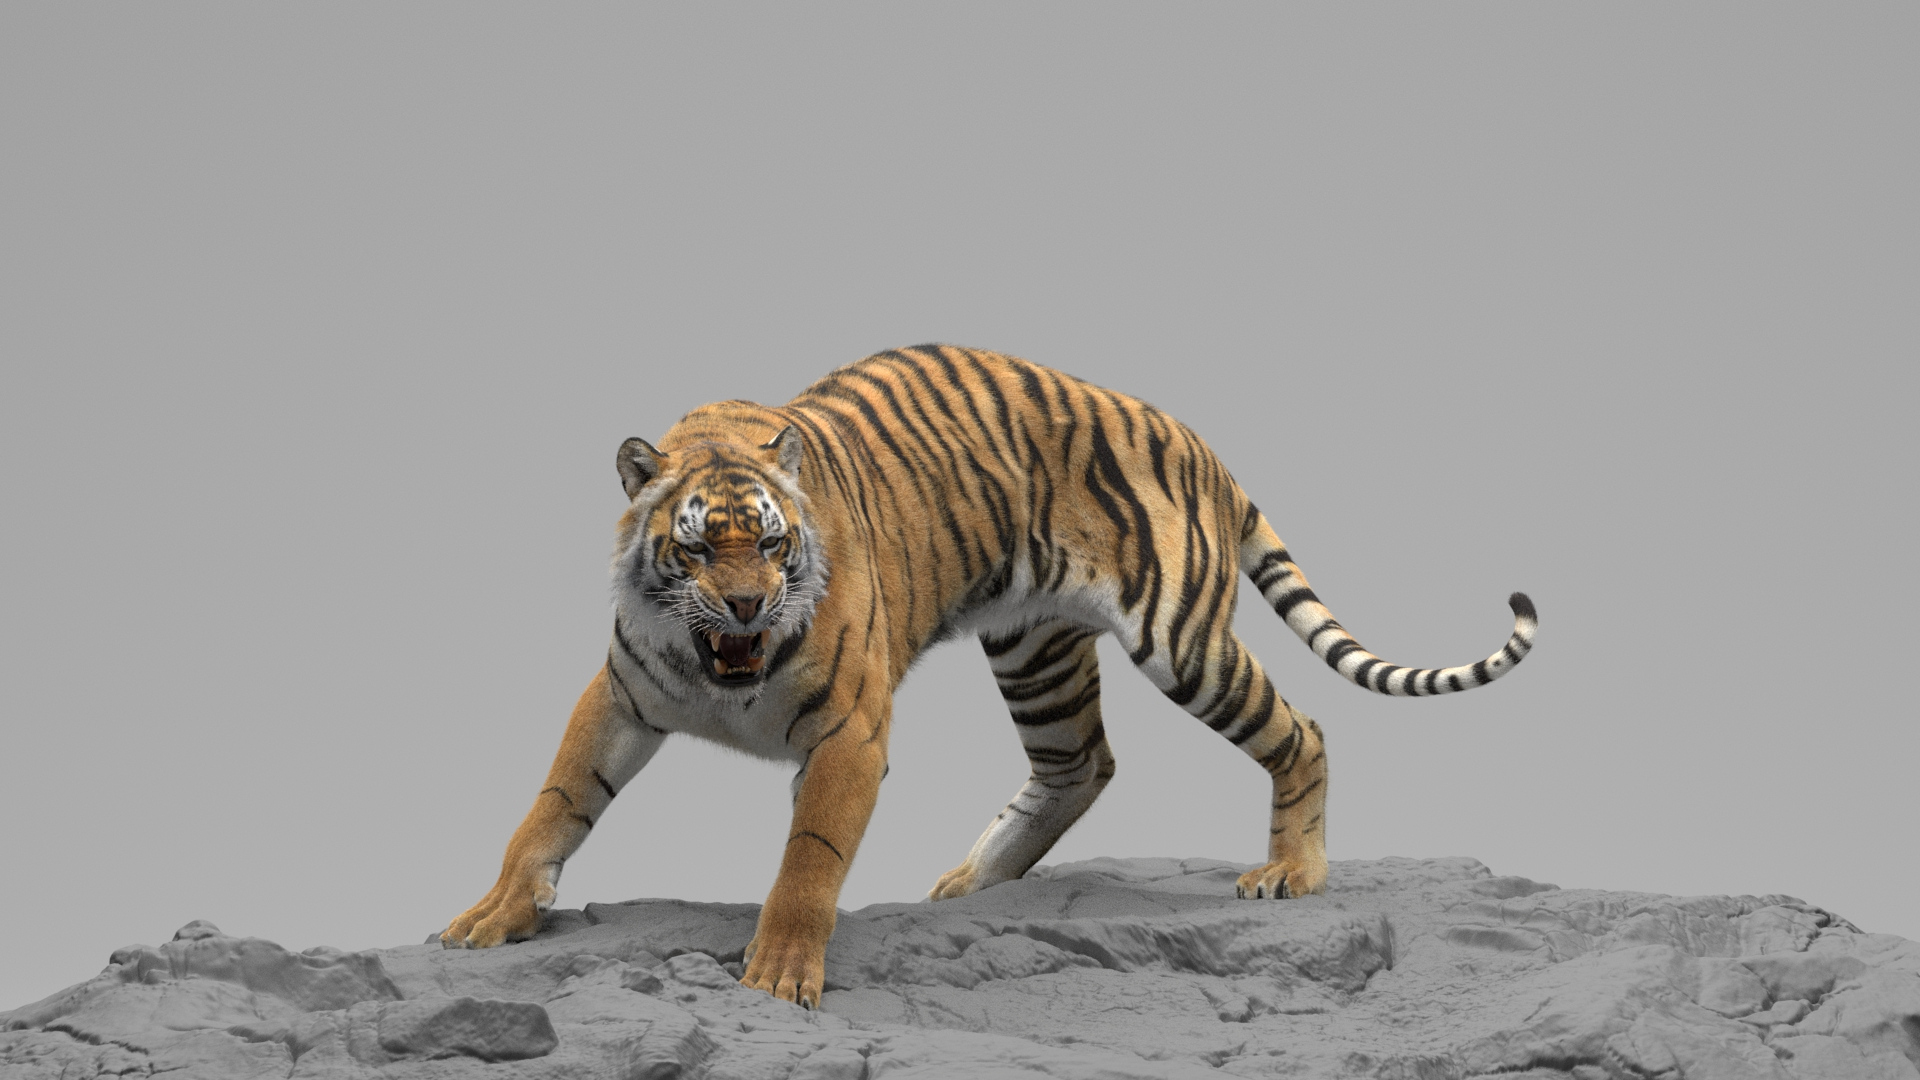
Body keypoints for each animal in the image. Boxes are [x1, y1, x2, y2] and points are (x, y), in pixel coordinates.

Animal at [439, 345, 1536, 1009]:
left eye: (774, 543)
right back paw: (971, 884)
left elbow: (808, 863)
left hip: (1179, 636)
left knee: (1300, 730)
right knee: (1081, 763)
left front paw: (781, 973)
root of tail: (1199, 443)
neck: (724, 673)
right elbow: (551, 807)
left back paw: (1291, 874)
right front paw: (493, 916)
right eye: (700, 548)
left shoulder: (851, 733)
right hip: (1034, 648)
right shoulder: (620, 695)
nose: (749, 607)